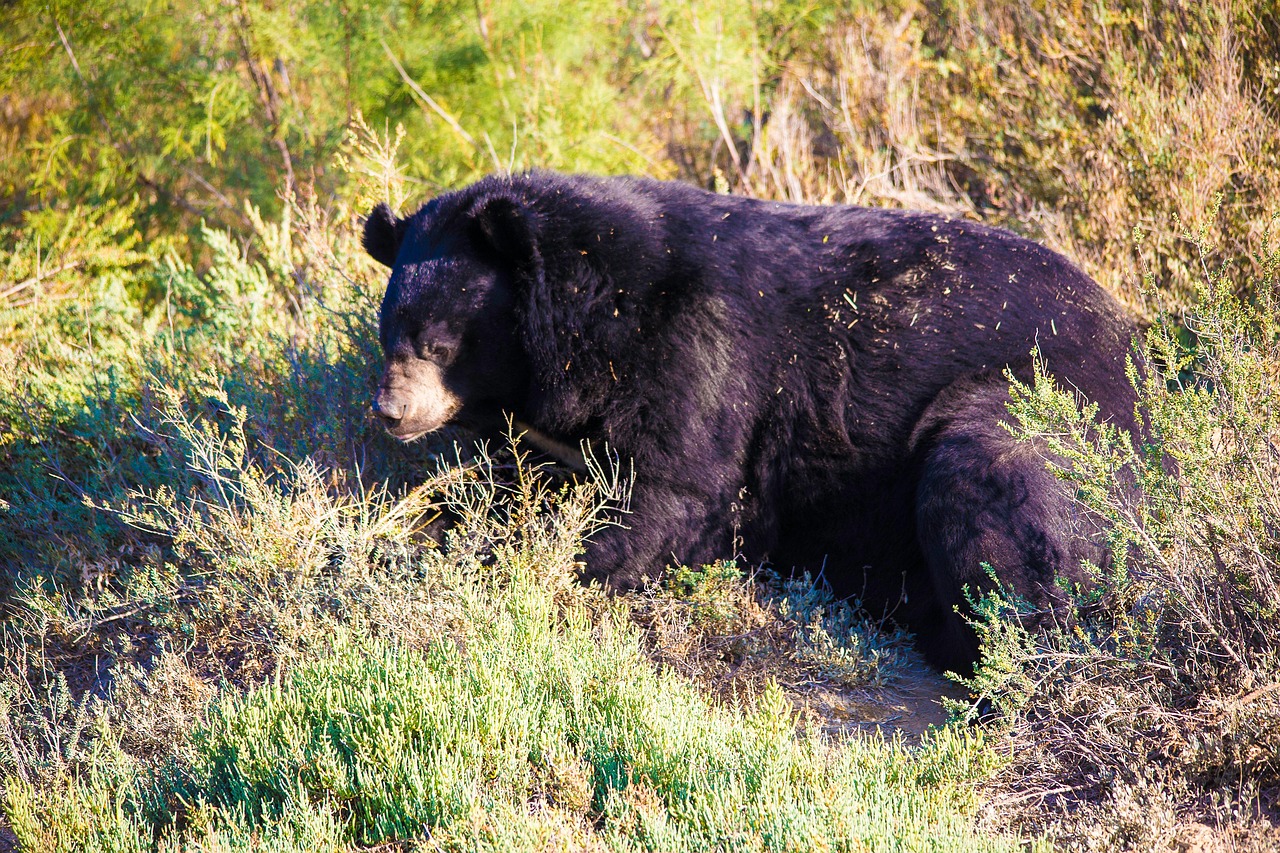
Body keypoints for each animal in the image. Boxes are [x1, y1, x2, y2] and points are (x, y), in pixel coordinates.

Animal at [363, 171, 1139, 674]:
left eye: (439, 342)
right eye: (387, 332)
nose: (389, 412)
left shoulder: (699, 347)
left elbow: (679, 494)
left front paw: (515, 567)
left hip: (1038, 406)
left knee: (998, 504)